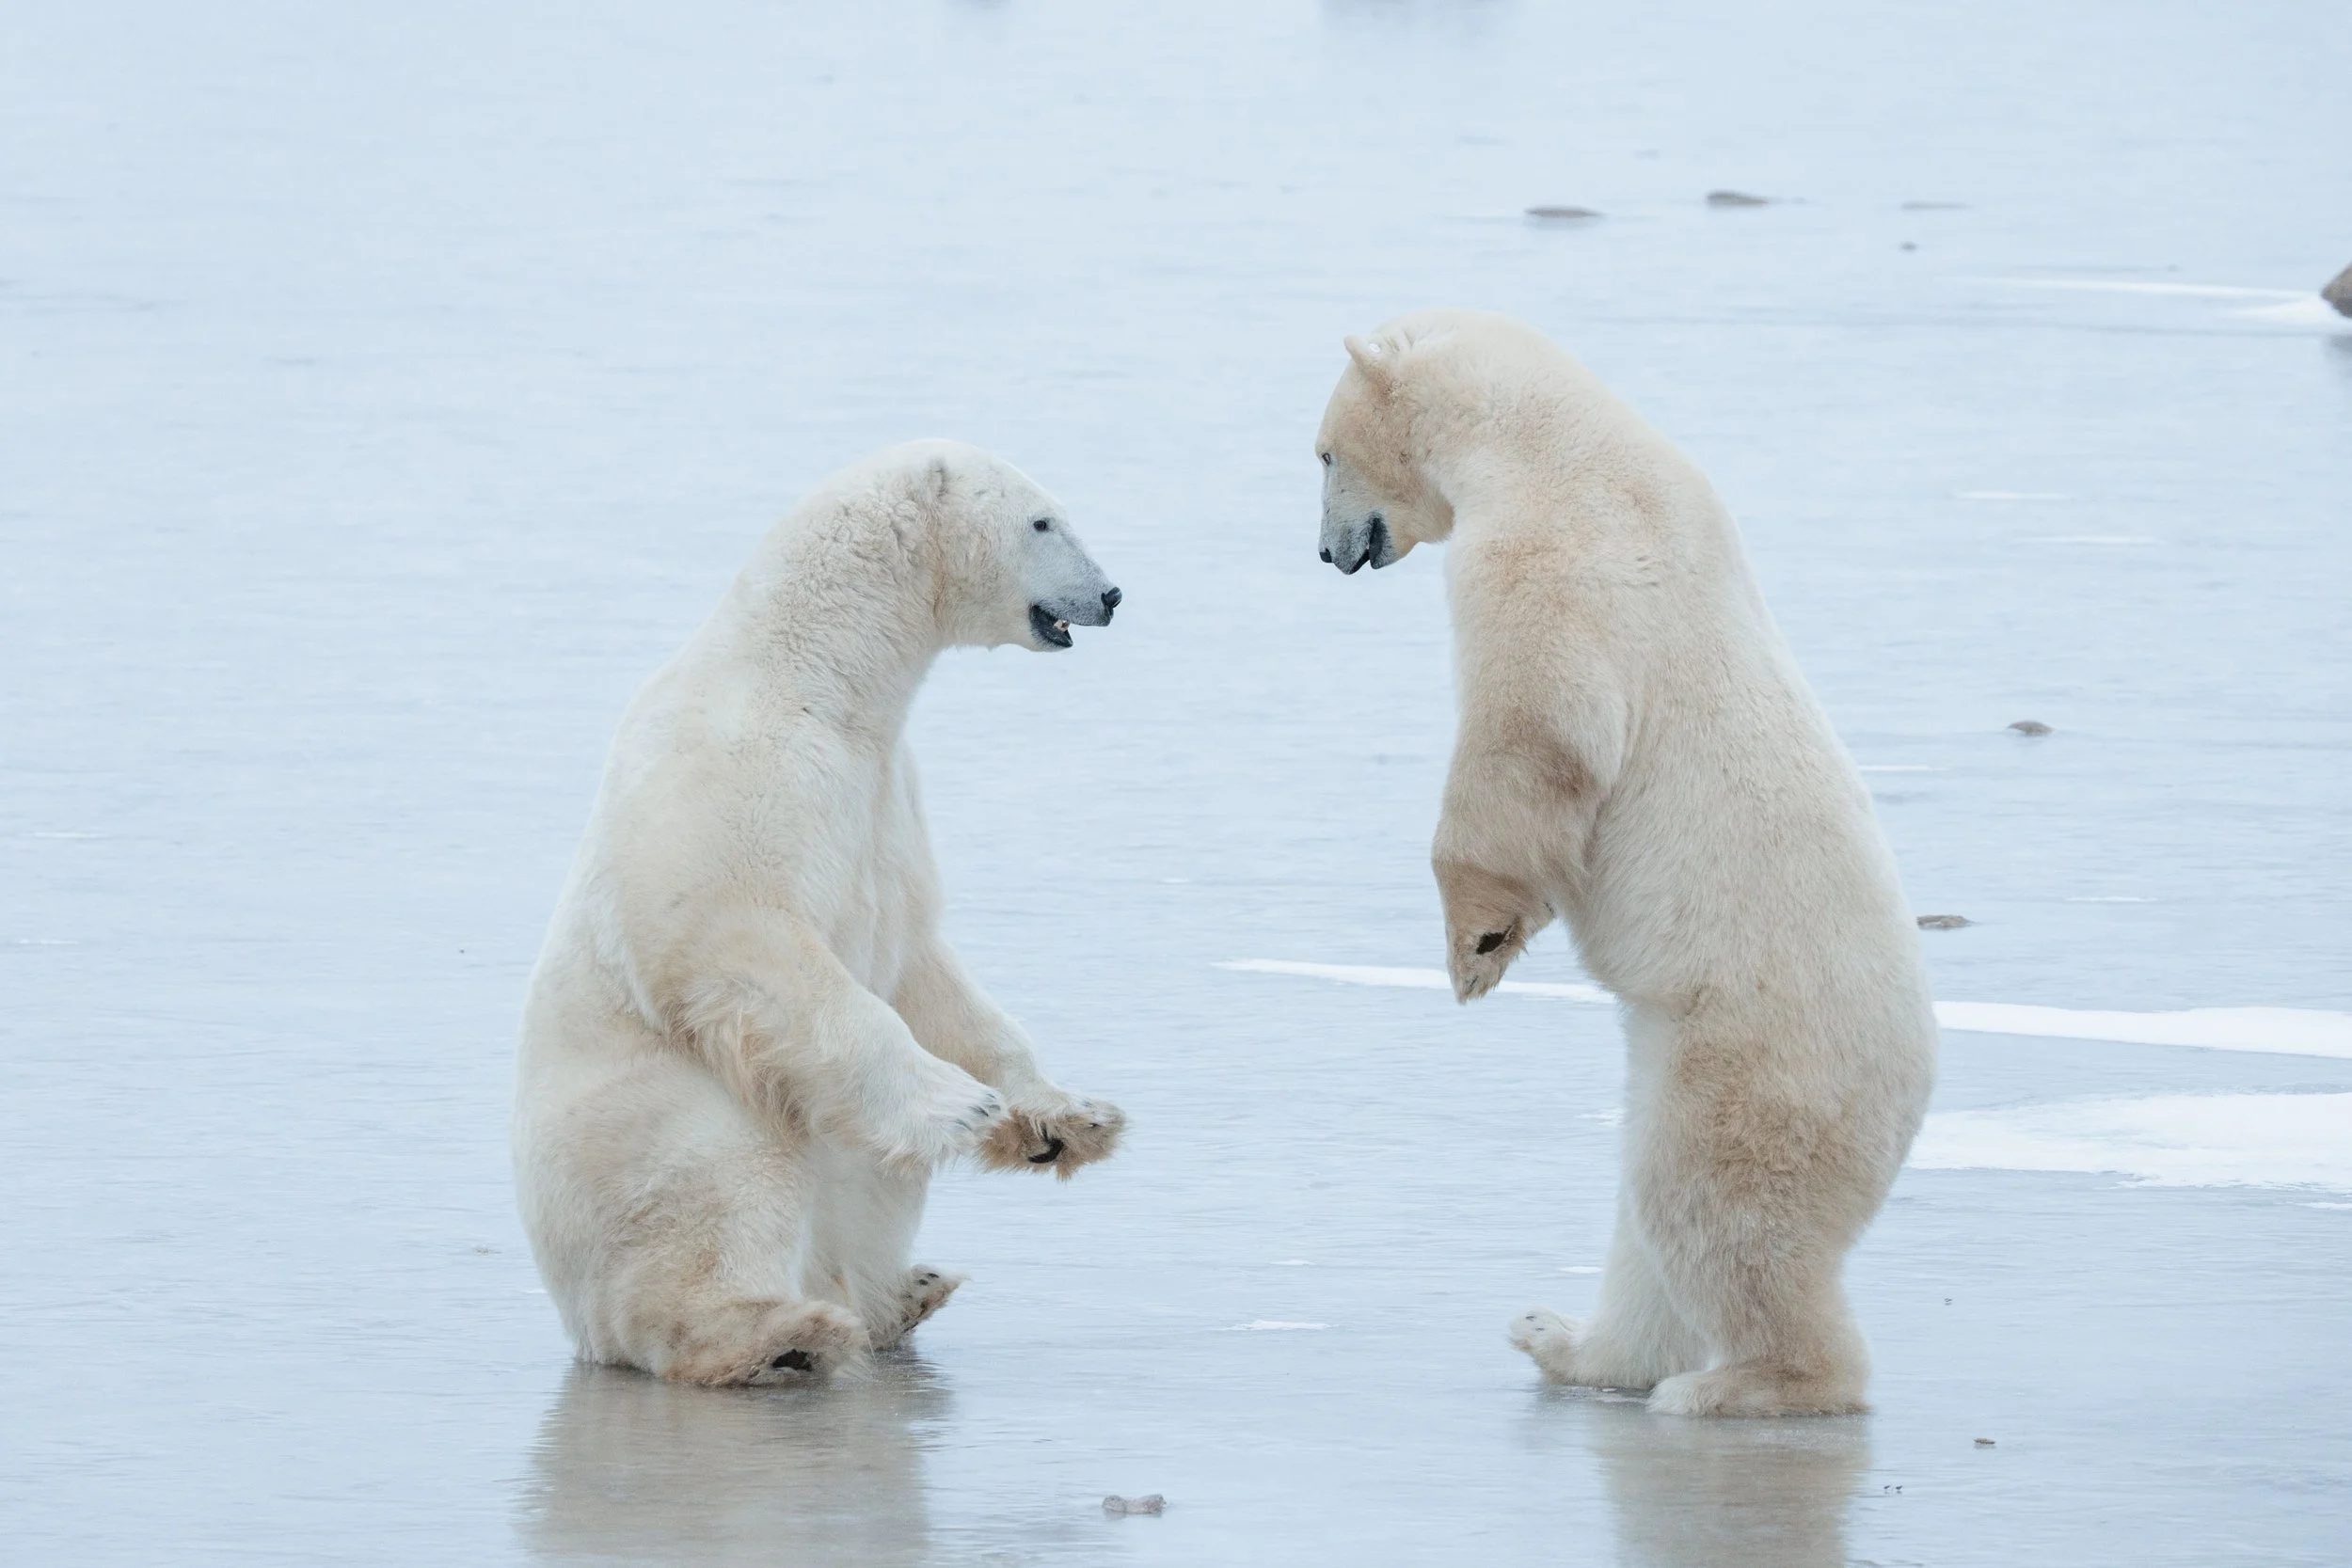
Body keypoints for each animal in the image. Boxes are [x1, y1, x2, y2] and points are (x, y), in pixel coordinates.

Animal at [513, 440, 1127, 1386]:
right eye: (1043, 520)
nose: (1109, 594)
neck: (816, 672)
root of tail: (573, 1315)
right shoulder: (748, 774)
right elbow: (743, 938)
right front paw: (961, 1105)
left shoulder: (886, 799)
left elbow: (923, 965)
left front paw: (1066, 1116)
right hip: (650, 1130)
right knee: (729, 1181)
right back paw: (778, 1332)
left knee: (867, 1190)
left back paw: (902, 1292)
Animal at [1314, 310, 1937, 1416]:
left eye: (1322, 456)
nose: (1329, 550)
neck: (1549, 440)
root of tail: (1918, 1085)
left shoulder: (1550, 559)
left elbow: (1531, 734)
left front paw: (1477, 942)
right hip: (1668, 1048)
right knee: (1649, 1213)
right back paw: (1563, 1337)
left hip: (1752, 1051)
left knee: (1712, 1202)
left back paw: (1732, 1384)